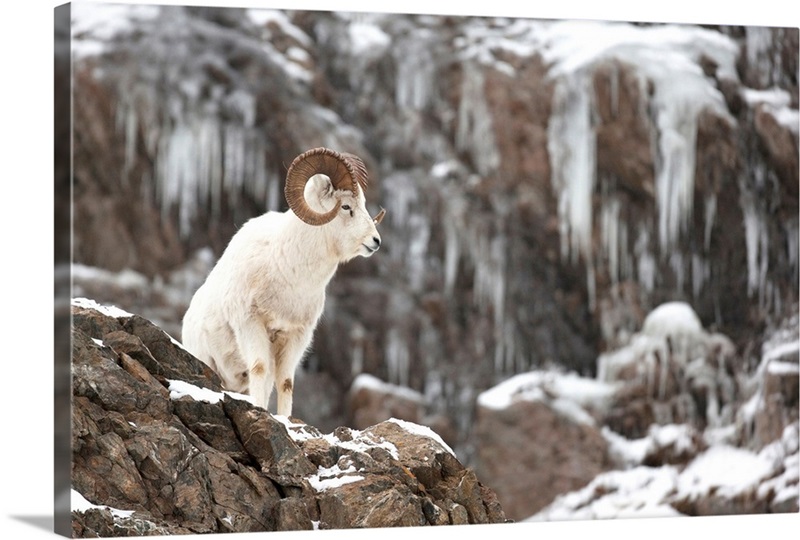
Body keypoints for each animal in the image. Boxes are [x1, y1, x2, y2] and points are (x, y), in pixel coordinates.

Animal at [181, 147, 386, 417]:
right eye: (345, 206)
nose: (375, 242)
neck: (288, 273)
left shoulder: (296, 336)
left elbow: (286, 382)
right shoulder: (251, 325)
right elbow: (260, 368)